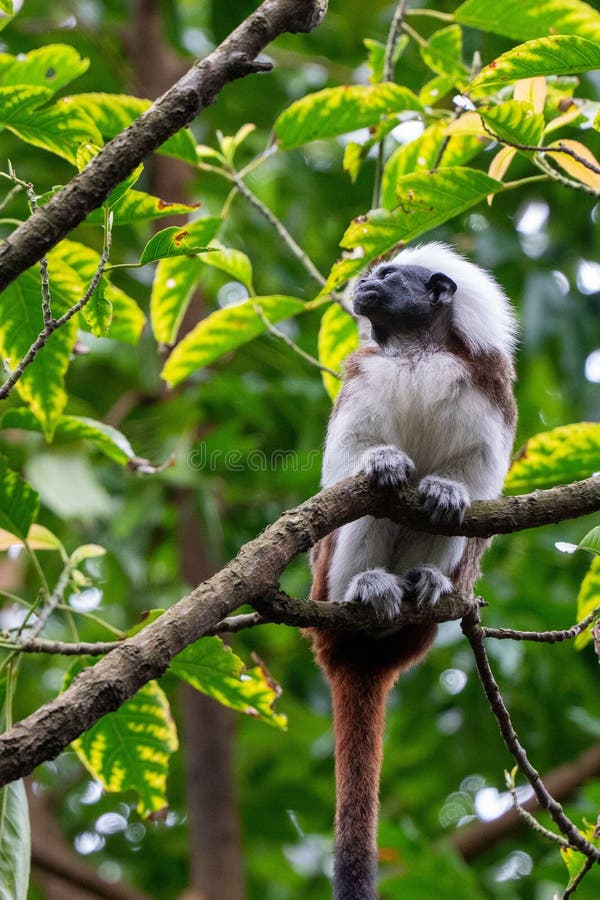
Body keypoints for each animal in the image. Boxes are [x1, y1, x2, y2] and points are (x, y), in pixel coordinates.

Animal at [309, 242, 517, 900]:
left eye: (387, 276)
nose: (361, 286)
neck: (416, 350)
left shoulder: (488, 386)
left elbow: (478, 479)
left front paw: (450, 491)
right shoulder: (360, 377)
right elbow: (344, 466)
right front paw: (380, 460)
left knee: (440, 523)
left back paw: (425, 584)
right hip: (323, 588)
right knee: (371, 509)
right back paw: (370, 590)